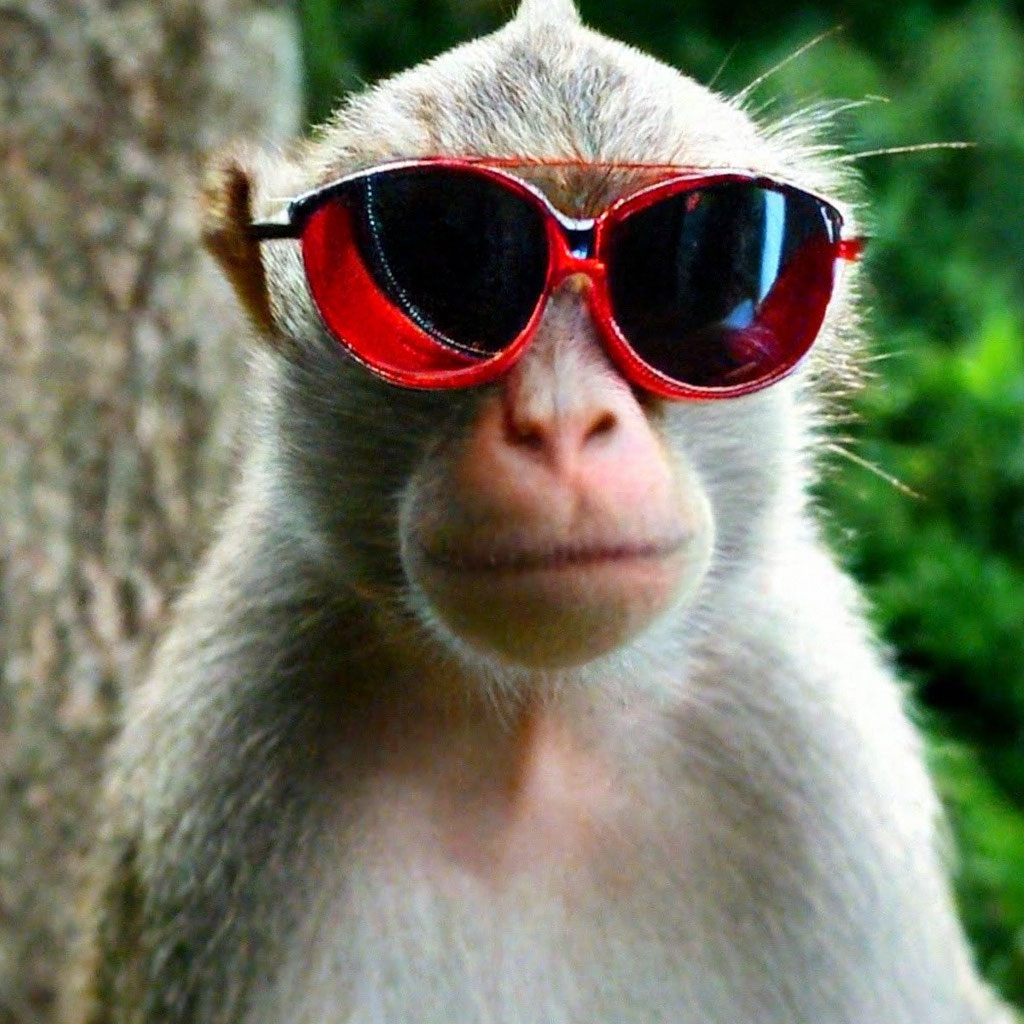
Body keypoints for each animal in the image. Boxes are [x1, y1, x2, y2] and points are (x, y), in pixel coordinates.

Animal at [64, 1, 1019, 1022]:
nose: (562, 420)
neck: (541, 728)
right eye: (446, 256)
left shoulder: (825, 764)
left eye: (704, 266)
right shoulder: (226, 780)